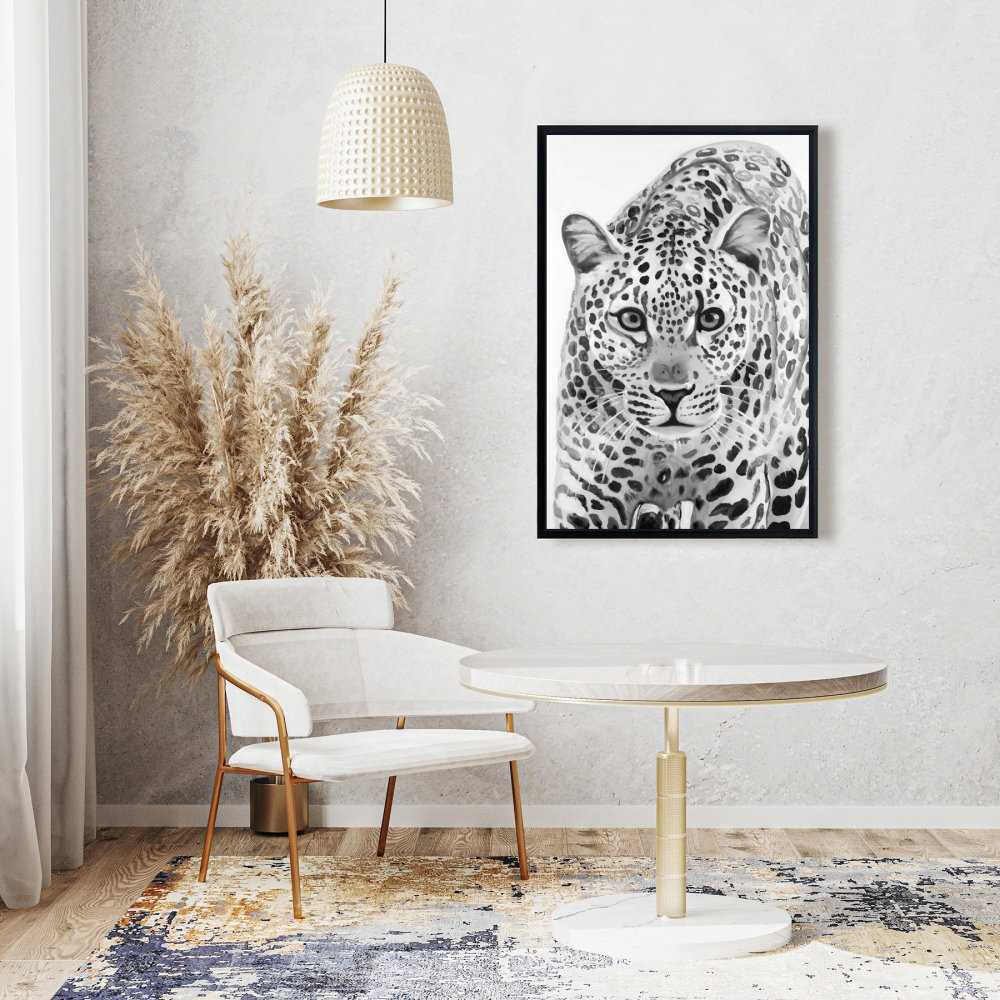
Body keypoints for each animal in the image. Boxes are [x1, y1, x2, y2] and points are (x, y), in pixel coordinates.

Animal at [552, 140, 811, 531]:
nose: (672, 394)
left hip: (793, 450)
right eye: (631, 319)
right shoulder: (584, 490)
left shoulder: (735, 495)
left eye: (710, 319)